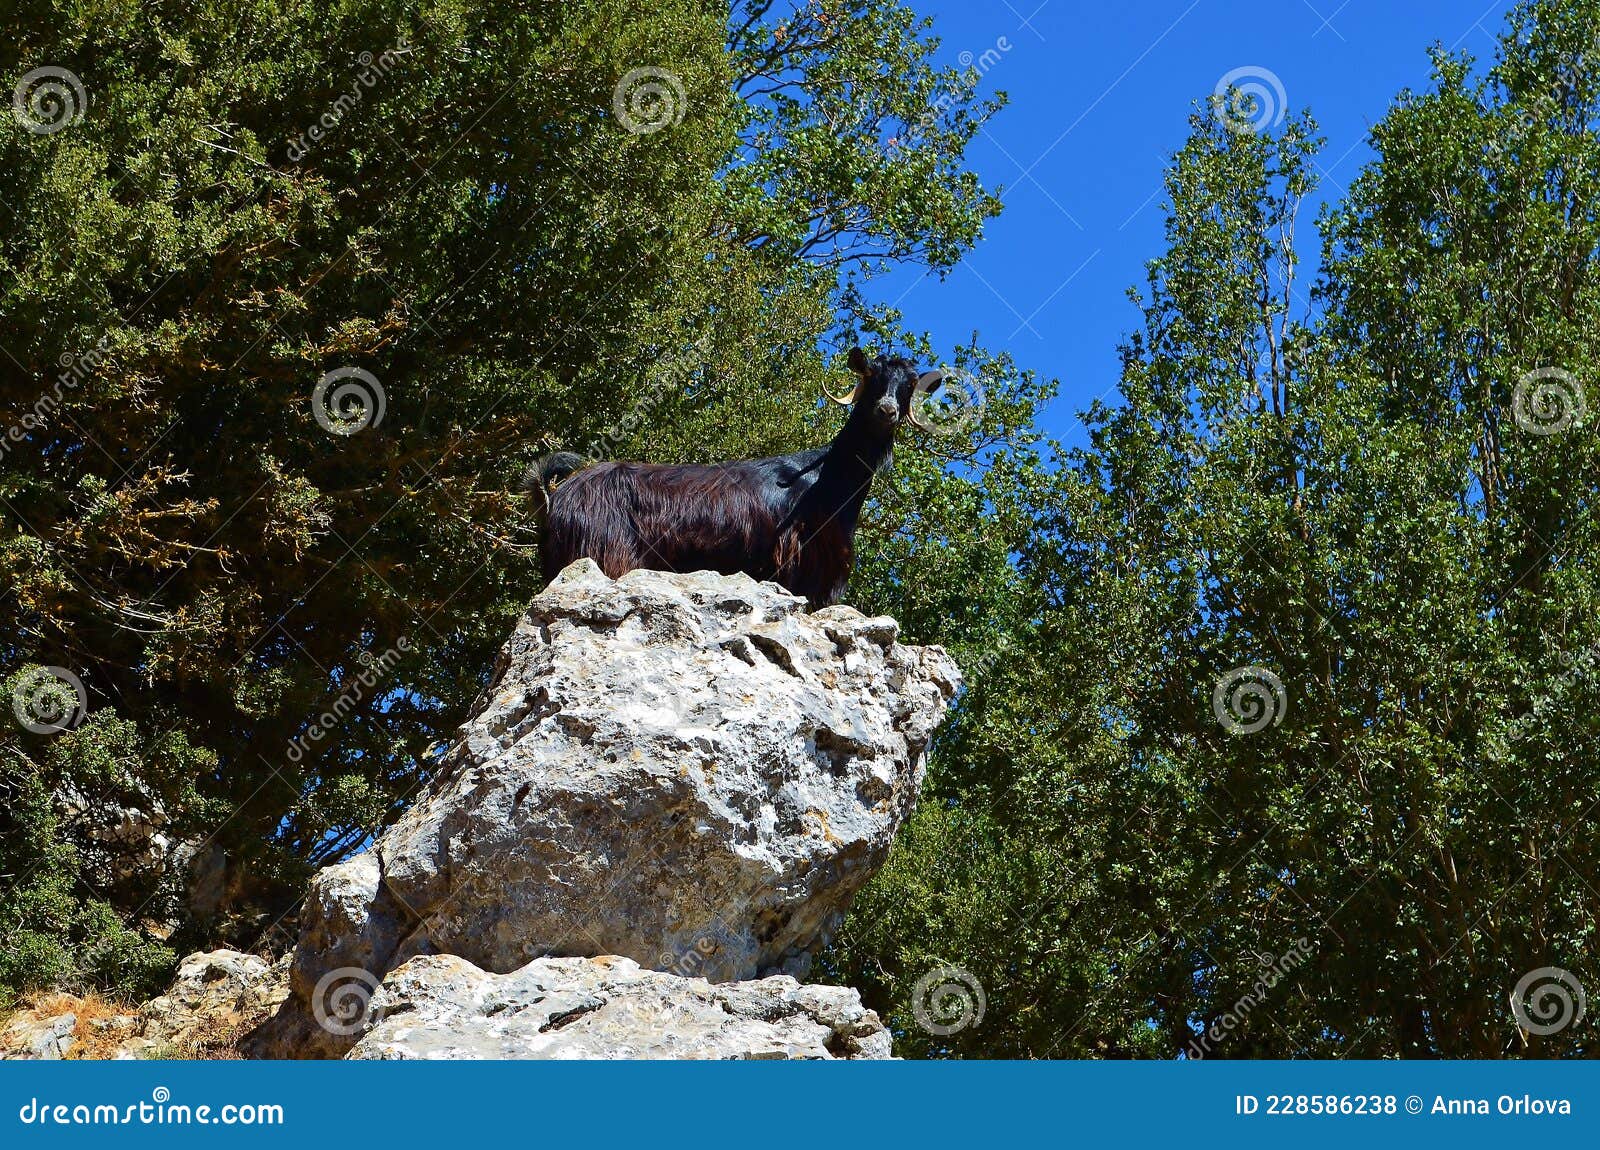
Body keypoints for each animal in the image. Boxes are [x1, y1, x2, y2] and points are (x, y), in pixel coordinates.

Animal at [522, 348, 943, 607]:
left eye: (909, 387)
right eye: (871, 376)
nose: (886, 410)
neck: (823, 480)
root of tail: (556, 496)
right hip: (604, 554)